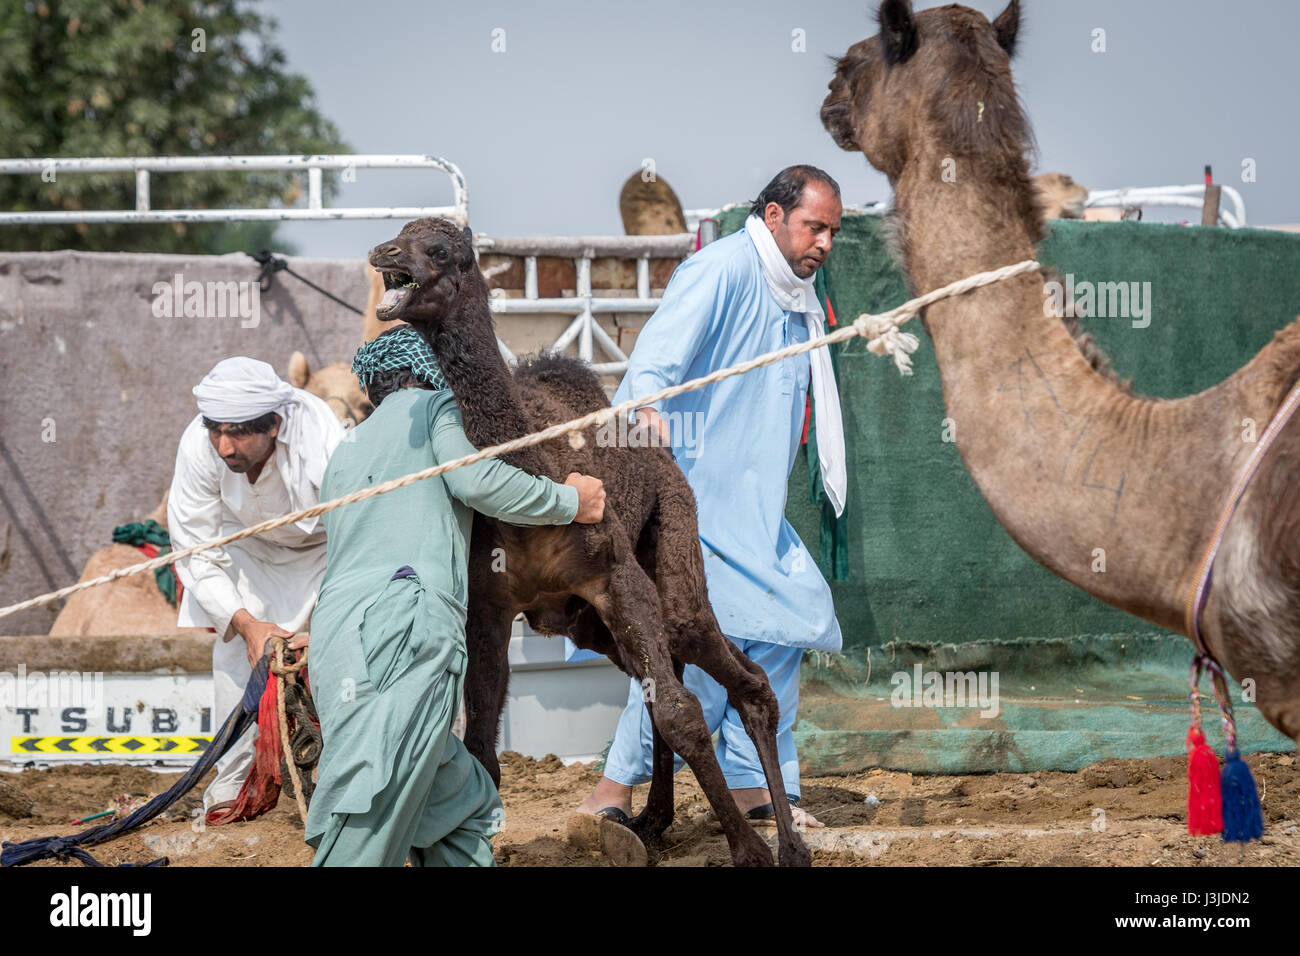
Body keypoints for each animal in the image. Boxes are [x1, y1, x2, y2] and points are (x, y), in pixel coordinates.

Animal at [367, 217, 810, 866]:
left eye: (440, 249)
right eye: (401, 232)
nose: (384, 251)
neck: (536, 470)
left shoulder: (614, 574)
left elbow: (682, 712)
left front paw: (750, 851)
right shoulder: (491, 608)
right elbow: (480, 745)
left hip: (672, 543)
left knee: (729, 670)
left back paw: (789, 844)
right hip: (587, 625)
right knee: (663, 680)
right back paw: (650, 822)